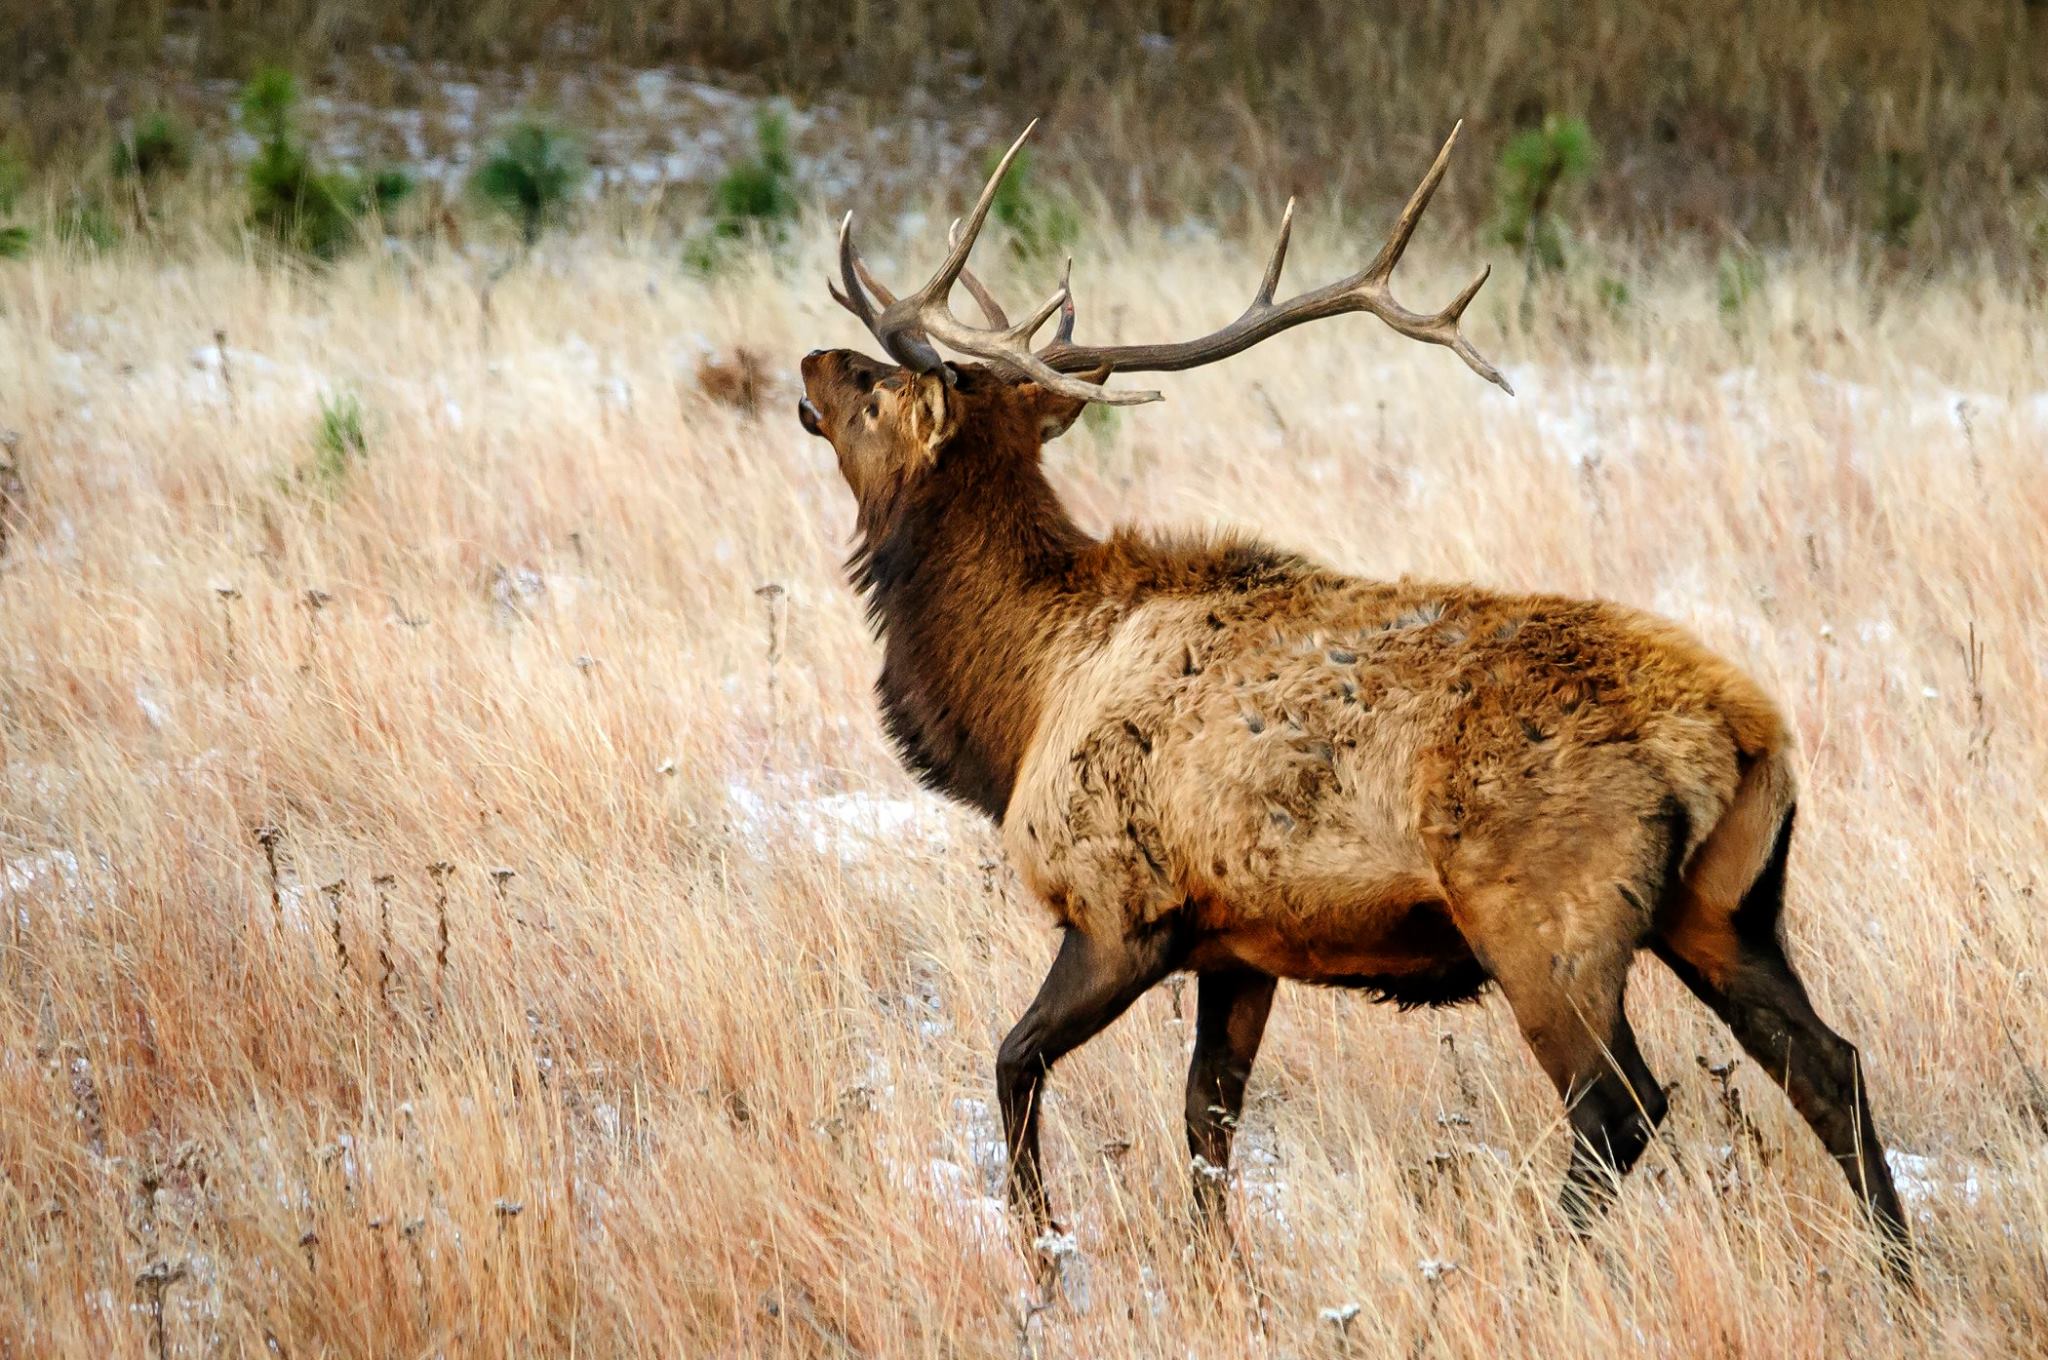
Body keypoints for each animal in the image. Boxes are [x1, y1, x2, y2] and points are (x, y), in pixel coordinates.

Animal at [795, 122, 1914, 1286]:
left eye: (875, 385)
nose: (809, 361)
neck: (1017, 705)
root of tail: (1746, 734)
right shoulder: (1237, 943)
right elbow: (1206, 1121)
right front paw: (1218, 1275)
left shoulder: (1119, 905)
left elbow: (1015, 1063)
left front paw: (1043, 1253)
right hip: (1727, 907)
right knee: (1830, 1063)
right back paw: (1900, 1275)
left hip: (1548, 918)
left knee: (1620, 1107)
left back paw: (1531, 1272)